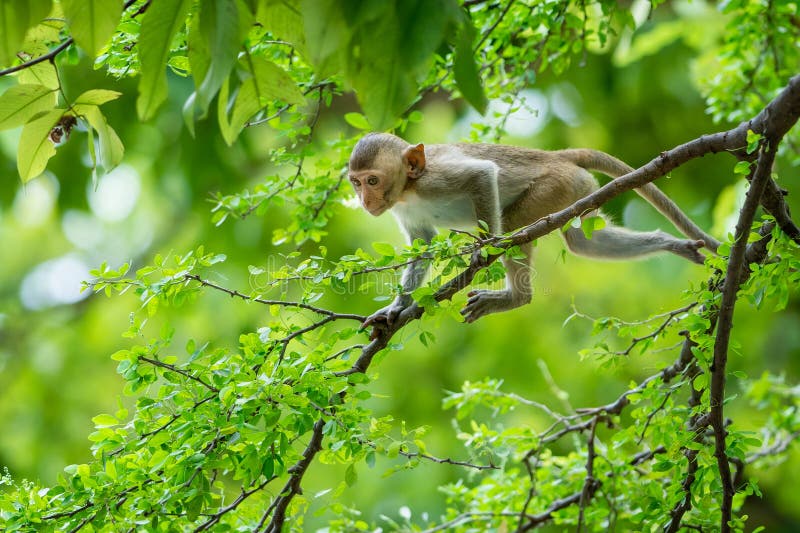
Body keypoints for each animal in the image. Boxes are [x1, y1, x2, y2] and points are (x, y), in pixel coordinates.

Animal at [348, 132, 720, 328]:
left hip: (554, 185)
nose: (365, 201)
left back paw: (517, 297)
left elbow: (482, 175)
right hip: (577, 187)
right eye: (356, 182)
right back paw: (668, 242)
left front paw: (485, 247)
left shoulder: (436, 178)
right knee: (582, 242)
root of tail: (554, 155)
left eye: (372, 180)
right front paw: (395, 308)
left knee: (515, 226)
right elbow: (423, 245)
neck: (408, 189)